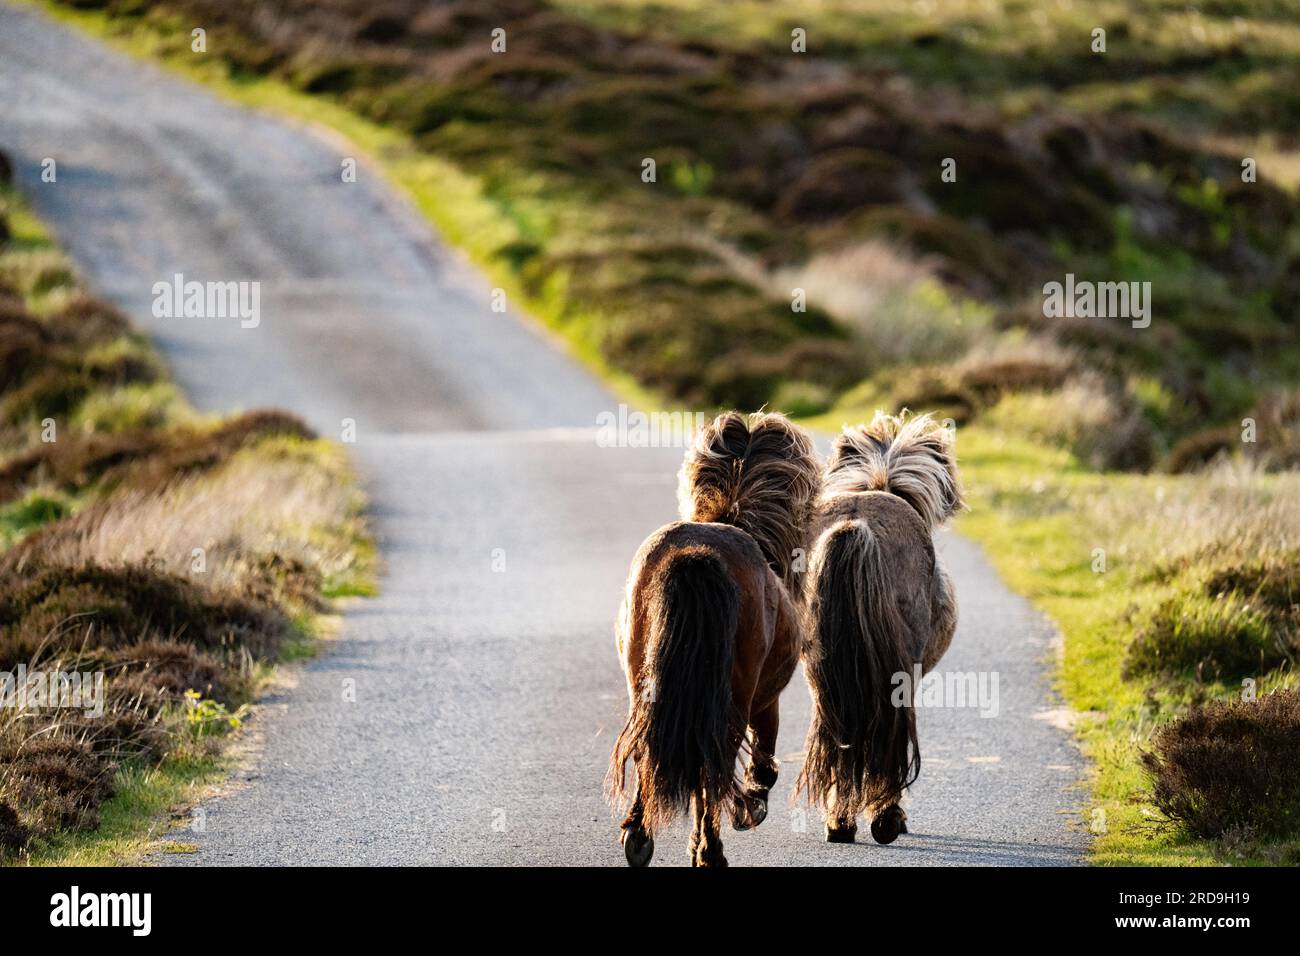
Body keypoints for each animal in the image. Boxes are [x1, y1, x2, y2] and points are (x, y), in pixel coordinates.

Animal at [608, 411, 820, 867]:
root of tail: (697, 556)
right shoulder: (766, 700)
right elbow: (763, 761)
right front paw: (750, 806)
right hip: (737, 697)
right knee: (714, 764)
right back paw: (710, 850)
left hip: (645, 685)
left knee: (649, 752)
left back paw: (639, 835)